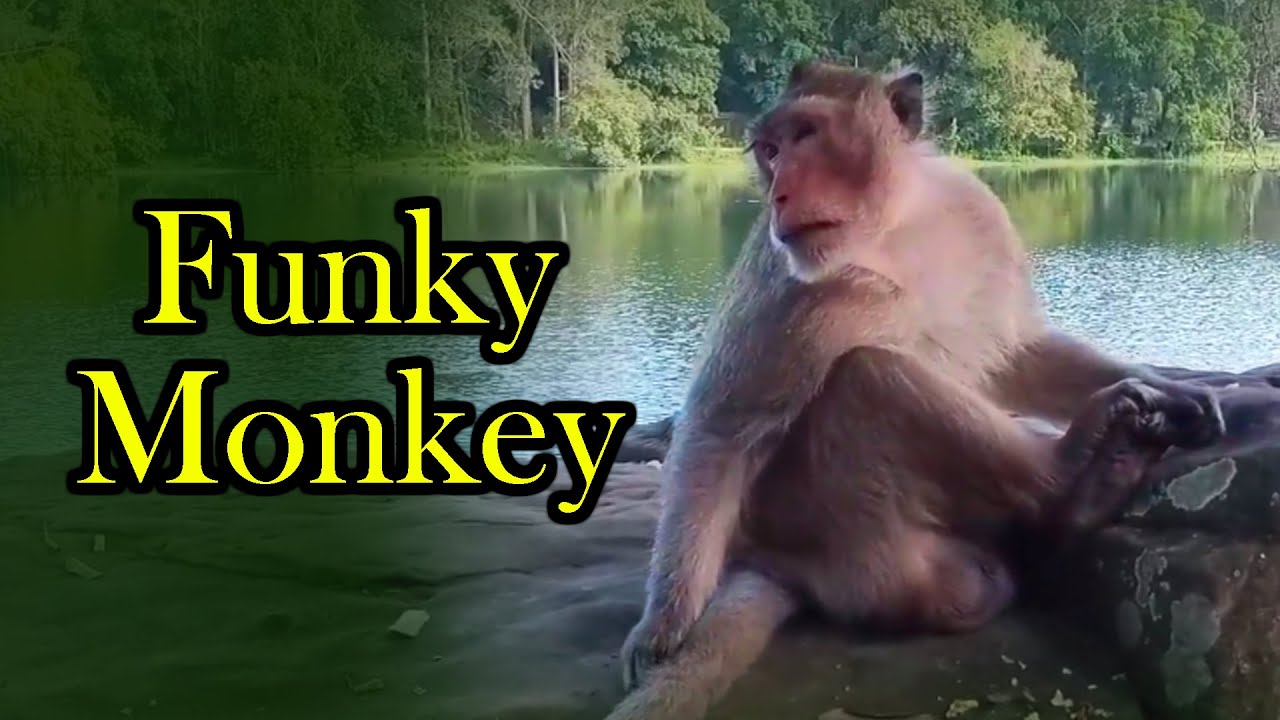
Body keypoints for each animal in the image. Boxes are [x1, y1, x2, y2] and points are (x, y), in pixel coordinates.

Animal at [606, 60, 1229, 720]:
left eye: (806, 135)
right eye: (771, 151)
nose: (778, 194)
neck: (892, 231)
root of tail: (777, 559)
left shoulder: (979, 215)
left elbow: (1018, 355)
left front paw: (1174, 390)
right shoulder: (781, 277)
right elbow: (722, 423)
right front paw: (662, 628)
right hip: (842, 527)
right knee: (870, 376)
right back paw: (1070, 469)